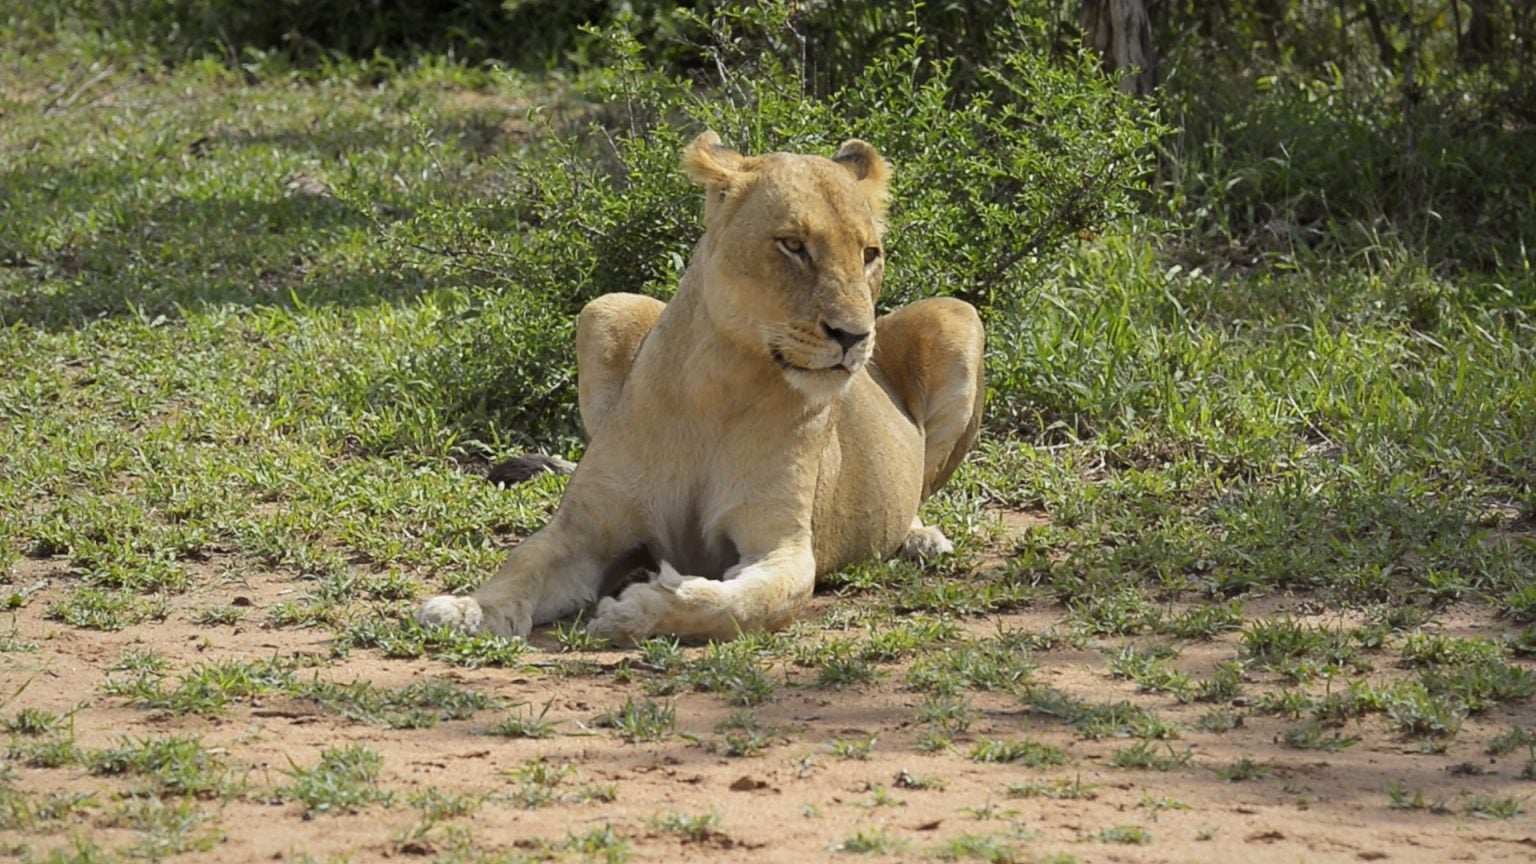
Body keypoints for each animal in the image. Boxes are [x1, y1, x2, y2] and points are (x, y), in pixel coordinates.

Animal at [416, 131, 985, 643]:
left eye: (869, 254)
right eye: (793, 245)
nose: (854, 336)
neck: (723, 388)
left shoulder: (782, 545)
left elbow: (743, 603)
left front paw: (637, 610)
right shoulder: (584, 532)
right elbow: (521, 563)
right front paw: (465, 610)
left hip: (960, 316)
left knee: (918, 491)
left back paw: (920, 537)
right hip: (607, 308)